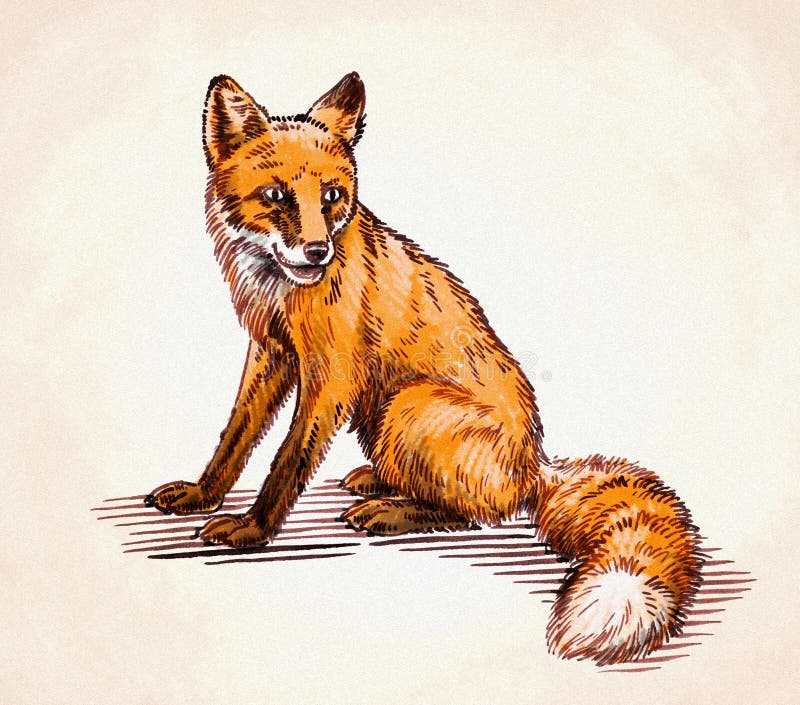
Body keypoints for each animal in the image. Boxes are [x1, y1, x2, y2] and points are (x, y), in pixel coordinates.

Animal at [145, 72, 702, 665]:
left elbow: (285, 465)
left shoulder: (330, 377)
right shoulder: (269, 355)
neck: (277, 288)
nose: (318, 252)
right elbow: (233, 441)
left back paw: (392, 512)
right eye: (276, 195)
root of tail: (535, 465)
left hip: (406, 407)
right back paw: (379, 483)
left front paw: (253, 530)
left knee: (475, 515)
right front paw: (201, 496)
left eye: (332, 195)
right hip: (381, 417)